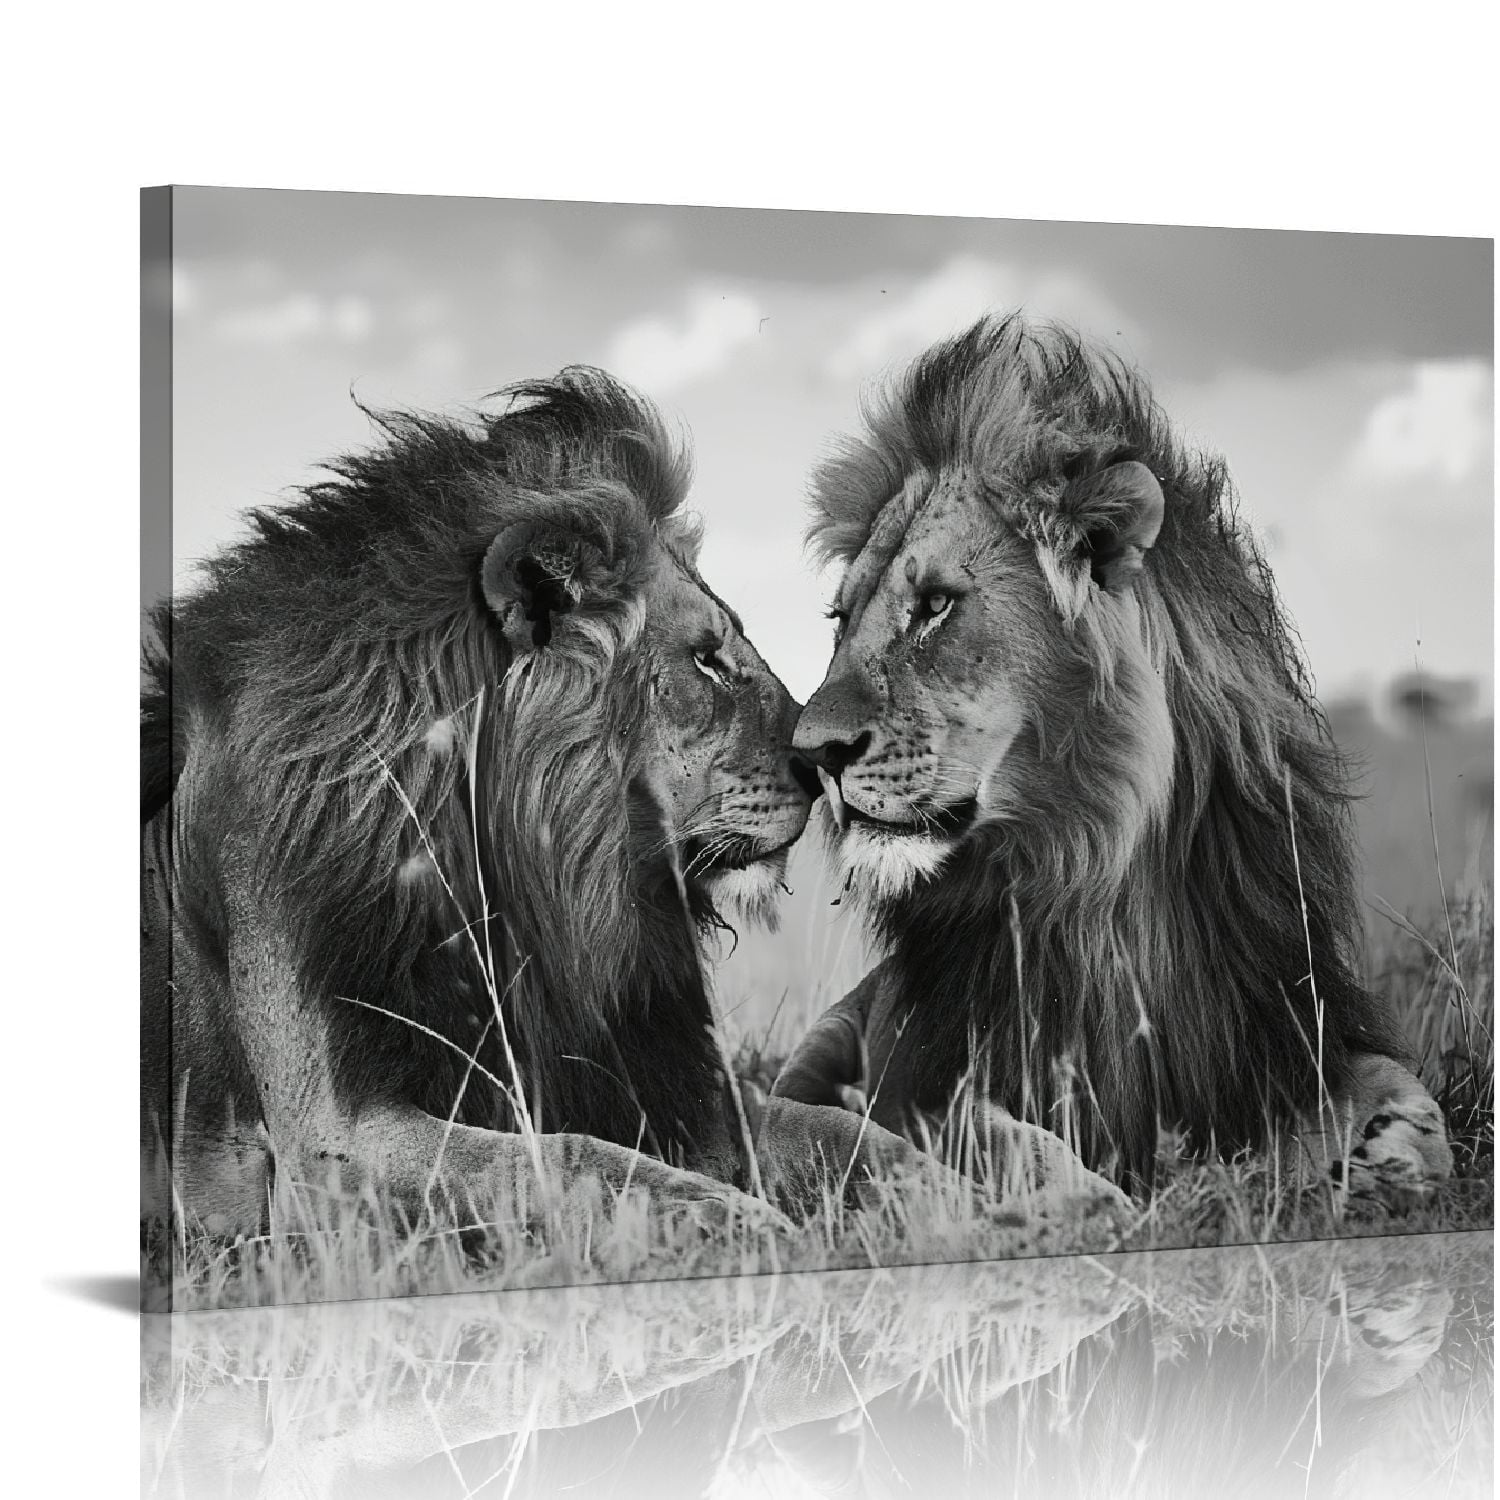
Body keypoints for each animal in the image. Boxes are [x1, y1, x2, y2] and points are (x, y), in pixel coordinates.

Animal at [141, 367, 1023, 1283]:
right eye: (706, 659)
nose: (821, 766)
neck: (539, 909)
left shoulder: (663, 1086)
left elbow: (842, 1132)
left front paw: (991, 1200)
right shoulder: (329, 1141)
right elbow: (569, 1161)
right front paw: (752, 1231)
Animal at [774, 314, 1452, 1198]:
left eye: (935, 605)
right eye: (841, 619)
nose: (808, 752)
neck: (1087, 877)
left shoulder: (1267, 1036)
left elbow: (1402, 1087)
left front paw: (1393, 1152)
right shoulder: (931, 1072)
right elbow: (990, 1135)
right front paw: (1095, 1201)